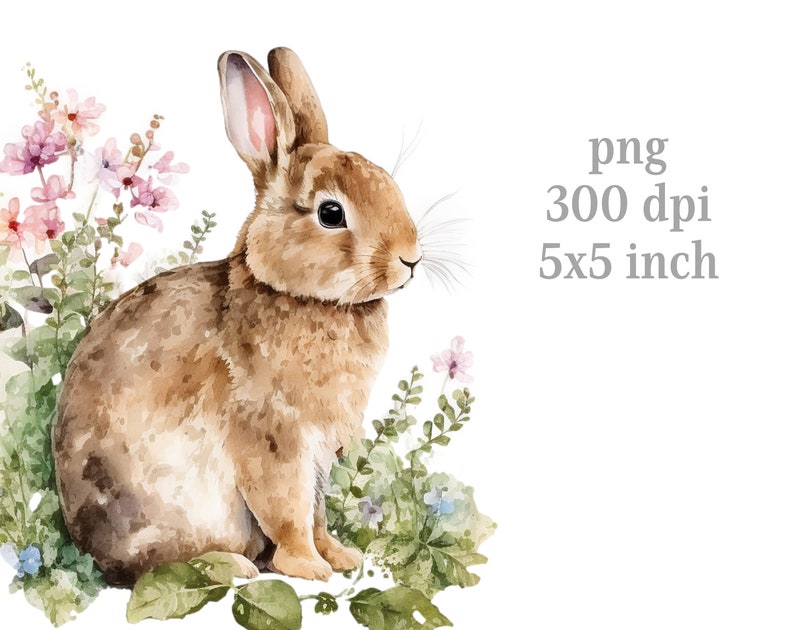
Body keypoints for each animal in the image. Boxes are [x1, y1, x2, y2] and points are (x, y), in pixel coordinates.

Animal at [52, 48, 422, 586]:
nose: (410, 258)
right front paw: (309, 568)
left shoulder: (318, 457)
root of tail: (94, 550)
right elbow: (287, 510)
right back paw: (234, 566)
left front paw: (341, 557)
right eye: (331, 214)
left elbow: (316, 513)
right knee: (161, 564)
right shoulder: (274, 437)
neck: (296, 295)